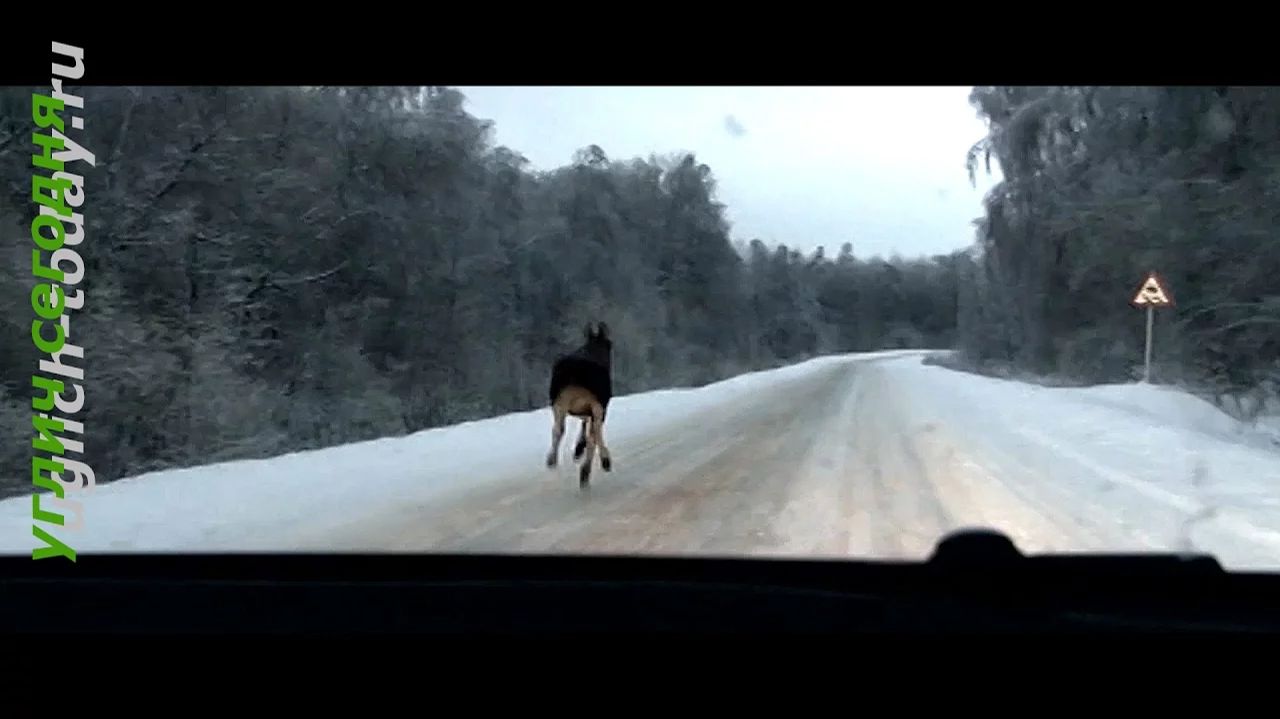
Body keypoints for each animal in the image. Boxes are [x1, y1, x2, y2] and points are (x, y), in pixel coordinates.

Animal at [546, 321, 614, 488]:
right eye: (609, 343)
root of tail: (574, 376)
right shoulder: (600, 407)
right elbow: (592, 434)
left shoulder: (583, 410)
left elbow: (584, 426)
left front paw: (577, 449)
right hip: (595, 404)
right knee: (593, 436)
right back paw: (592, 468)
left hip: (559, 402)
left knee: (558, 429)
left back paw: (552, 459)